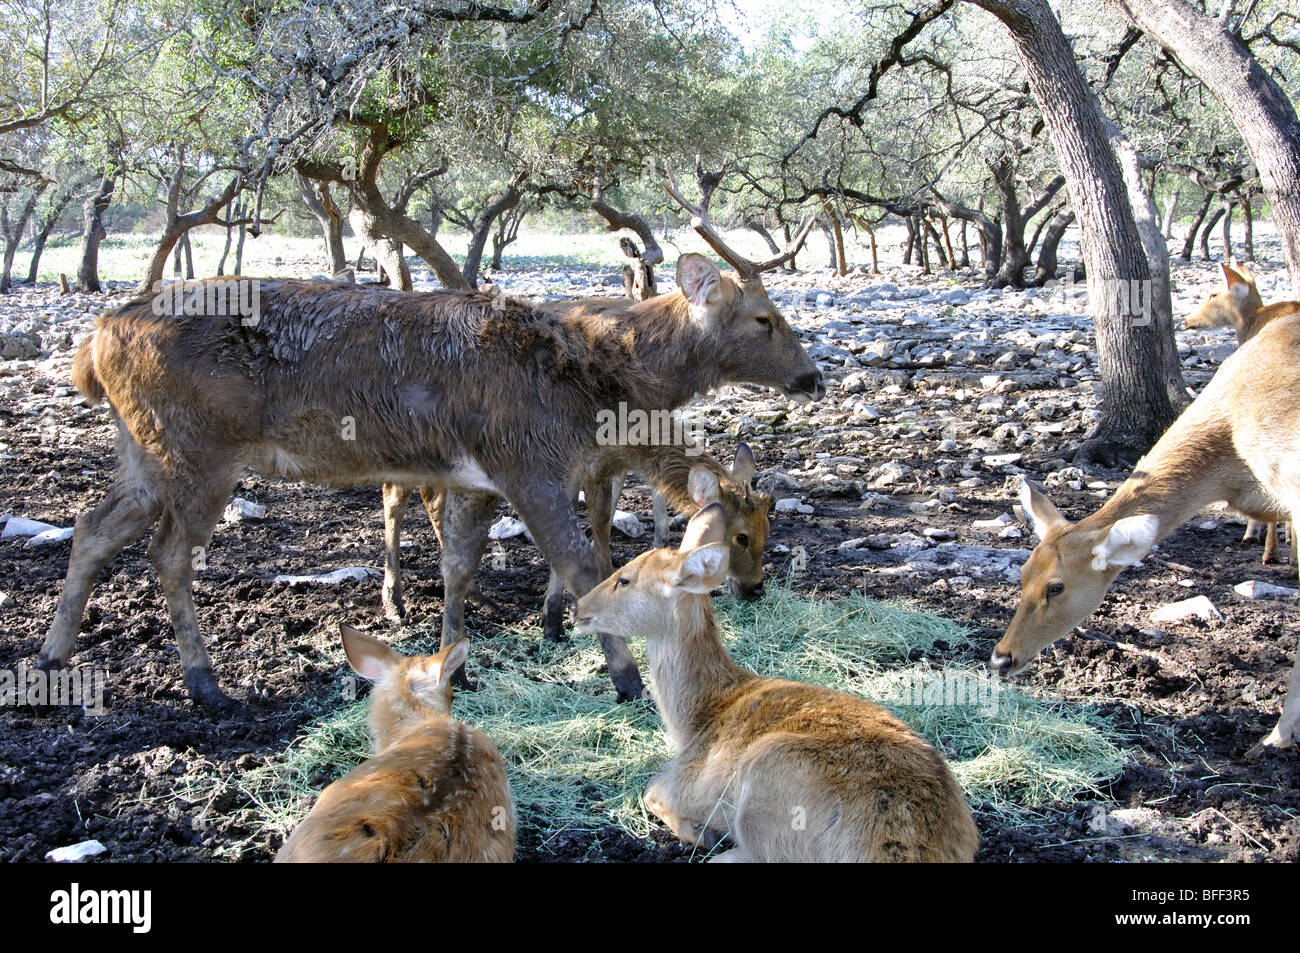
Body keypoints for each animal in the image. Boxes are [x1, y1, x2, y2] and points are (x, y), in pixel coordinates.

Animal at [44, 238, 823, 709]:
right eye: (764, 317)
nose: (813, 376)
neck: (599, 384)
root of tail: (93, 342)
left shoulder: (478, 479)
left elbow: (460, 565)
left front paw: (458, 665)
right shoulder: (529, 462)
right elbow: (583, 564)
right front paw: (627, 678)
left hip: (144, 450)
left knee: (91, 525)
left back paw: (54, 657)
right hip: (196, 449)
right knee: (167, 551)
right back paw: (204, 682)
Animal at [573, 501, 980, 863]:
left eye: (624, 579)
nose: (578, 609)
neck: (694, 721)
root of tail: (901, 844)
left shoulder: (684, 785)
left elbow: (649, 792)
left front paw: (700, 832)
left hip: (762, 796)